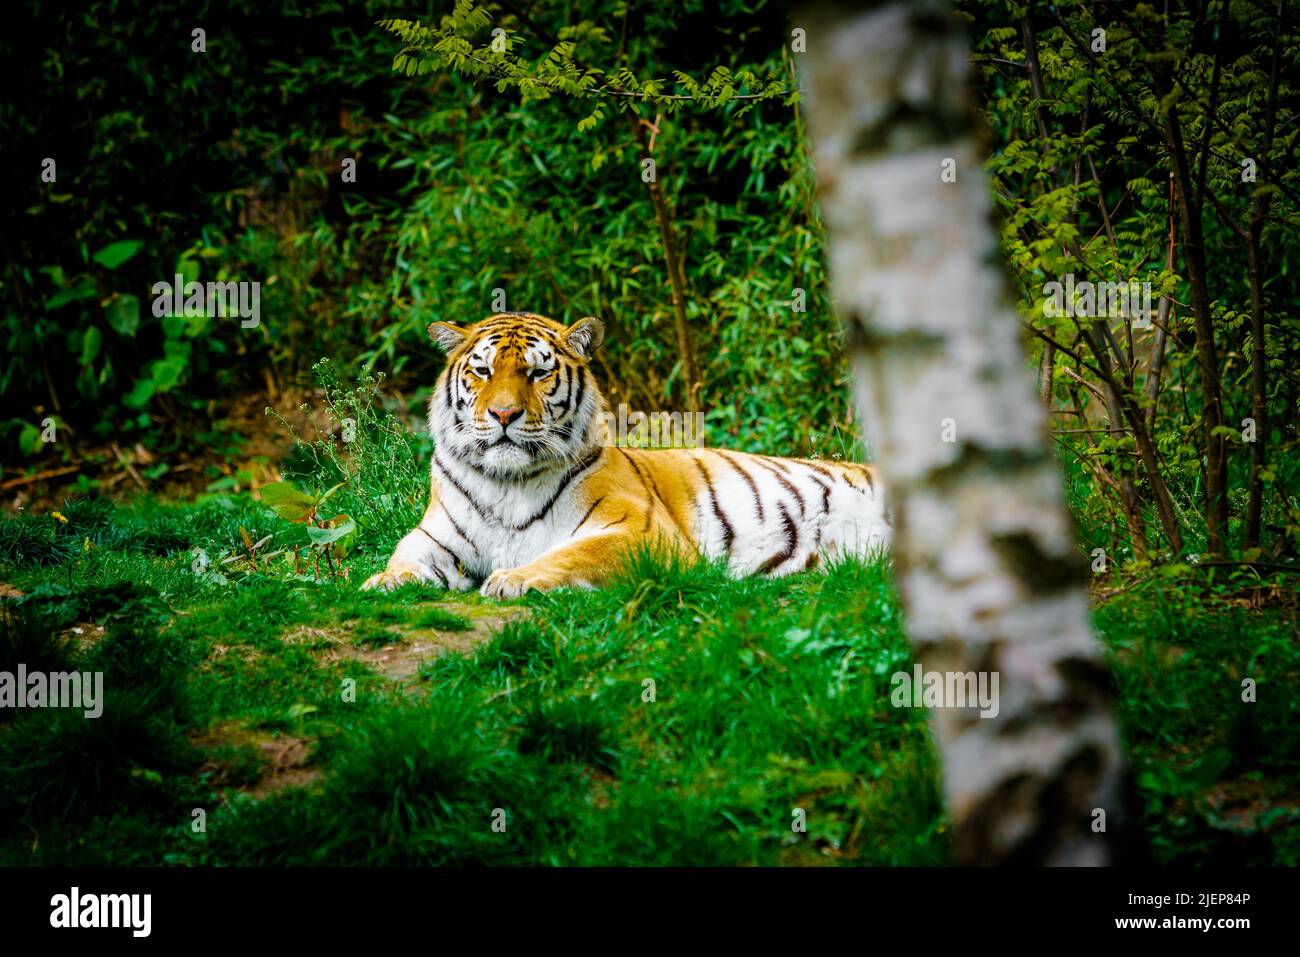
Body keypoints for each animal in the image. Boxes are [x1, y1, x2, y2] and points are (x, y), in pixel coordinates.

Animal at [362, 312, 891, 597]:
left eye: (537, 373)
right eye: (483, 371)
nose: (504, 413)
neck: (506, 483)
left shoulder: (641, 531)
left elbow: (570, 554)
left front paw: (511, 579)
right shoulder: (434, 535)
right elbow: (404, 553)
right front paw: (381, 581)